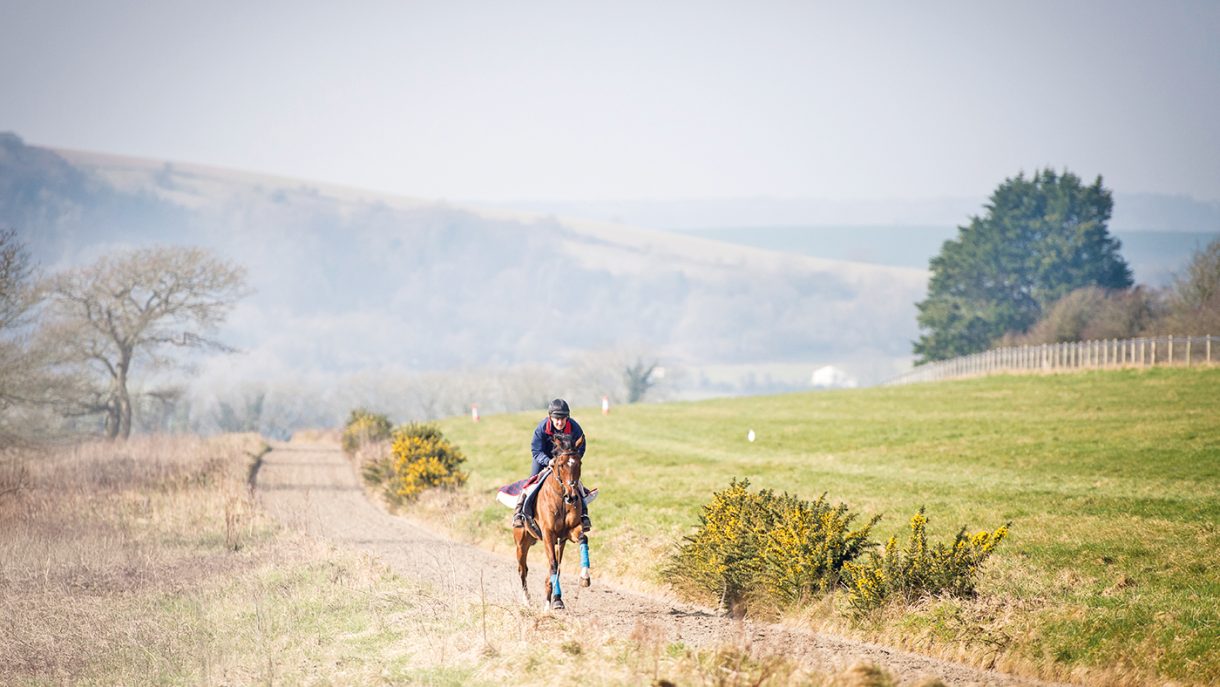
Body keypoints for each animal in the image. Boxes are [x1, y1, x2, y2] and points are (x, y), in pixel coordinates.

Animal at [513, 432, 591, 610]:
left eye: (579, 463)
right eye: (560, 465)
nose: (572, 497)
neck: (561, 498)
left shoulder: (570, 531)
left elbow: (583, 538)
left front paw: (584, 577)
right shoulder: (548, 534)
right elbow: (553, 565)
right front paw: (555, 598)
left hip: (559, 542)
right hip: (521, 543)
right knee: (523, 569)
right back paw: (527, 600)